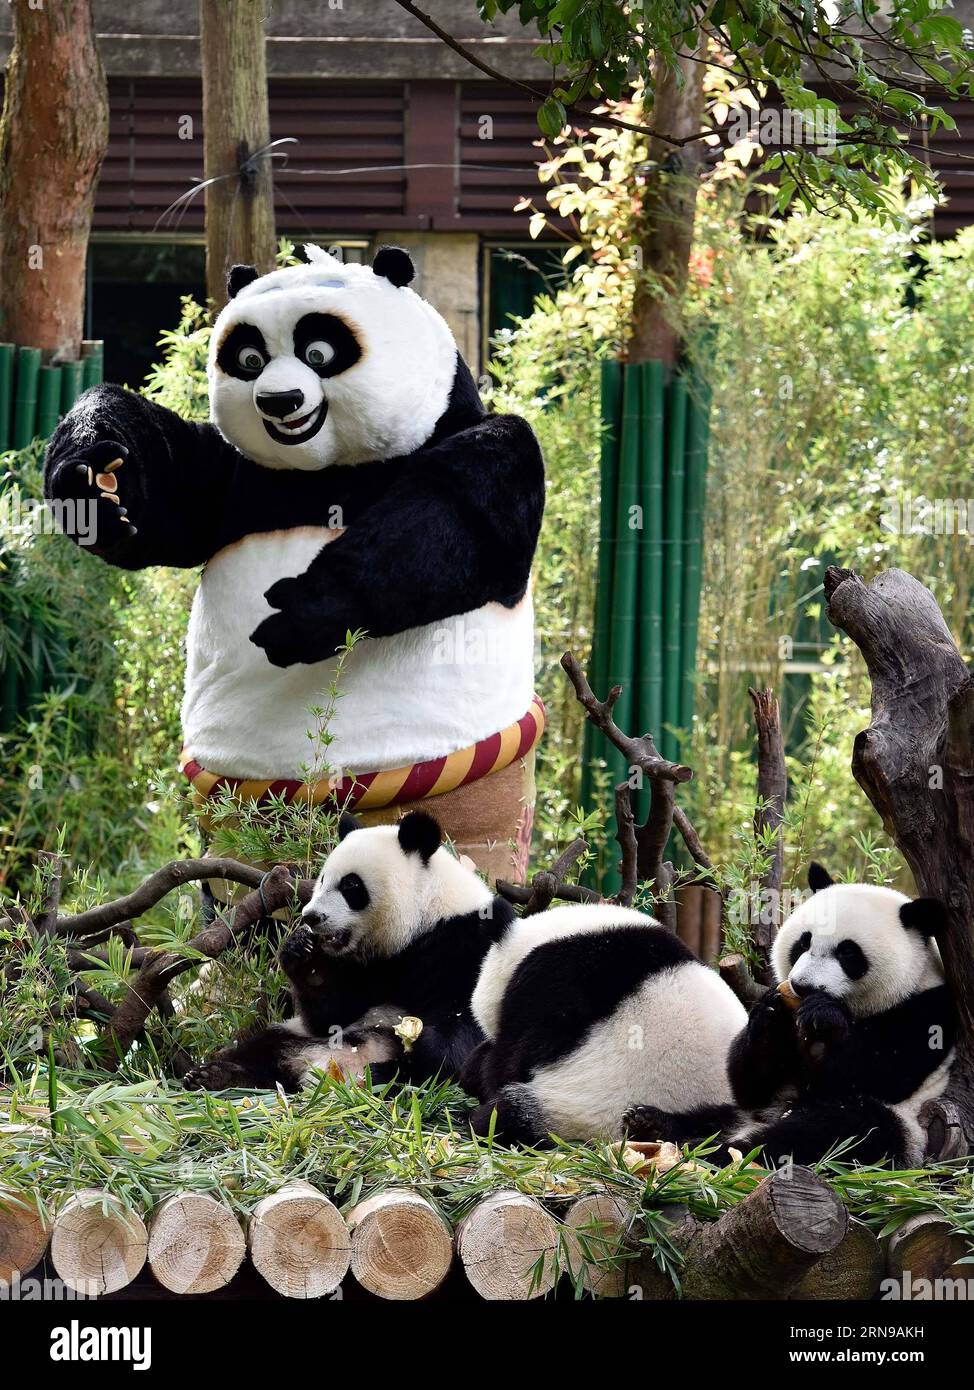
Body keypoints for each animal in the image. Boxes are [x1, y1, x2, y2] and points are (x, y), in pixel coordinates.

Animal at [44, 245, 545, 879]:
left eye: (319, 352)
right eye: (249, 358)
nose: (278, 402)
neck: (326, 474)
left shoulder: (480, 451)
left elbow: (450, 522)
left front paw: (304, 617)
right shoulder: (234, 480)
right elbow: (166, 488)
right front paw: (93, 488)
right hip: (237, 817)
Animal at [184, 810, 515, 1091]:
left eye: (351, 885)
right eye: (321, 879)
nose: (311, 916)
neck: (426, 918)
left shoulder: (468, 941)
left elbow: (466, 1020)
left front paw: (419, 1048)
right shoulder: (367, 966)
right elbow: (333, 1014)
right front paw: (306, 961)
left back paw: (383, 1073)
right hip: (296, 1036)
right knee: (263, 1047)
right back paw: (214, 1075)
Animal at [461, 902, 748, 1144]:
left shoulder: (551, 981)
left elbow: (512, 1060)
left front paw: (479, 1067)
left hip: (578, 1107)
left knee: (505, 1115)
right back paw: (654, 1128)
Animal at [626, 865, 956, 1167]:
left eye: (848, 953)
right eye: (804, 942)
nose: (802, 985)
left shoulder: (927, 1011)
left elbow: (875, 1071)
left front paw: (824, 1020)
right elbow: (749, 1085)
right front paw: (770, 1014)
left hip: (902, 1127)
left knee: (831, 1133)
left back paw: (717, 1151)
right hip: (743, 1113)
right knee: (713, 1114)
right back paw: (652, 1123)